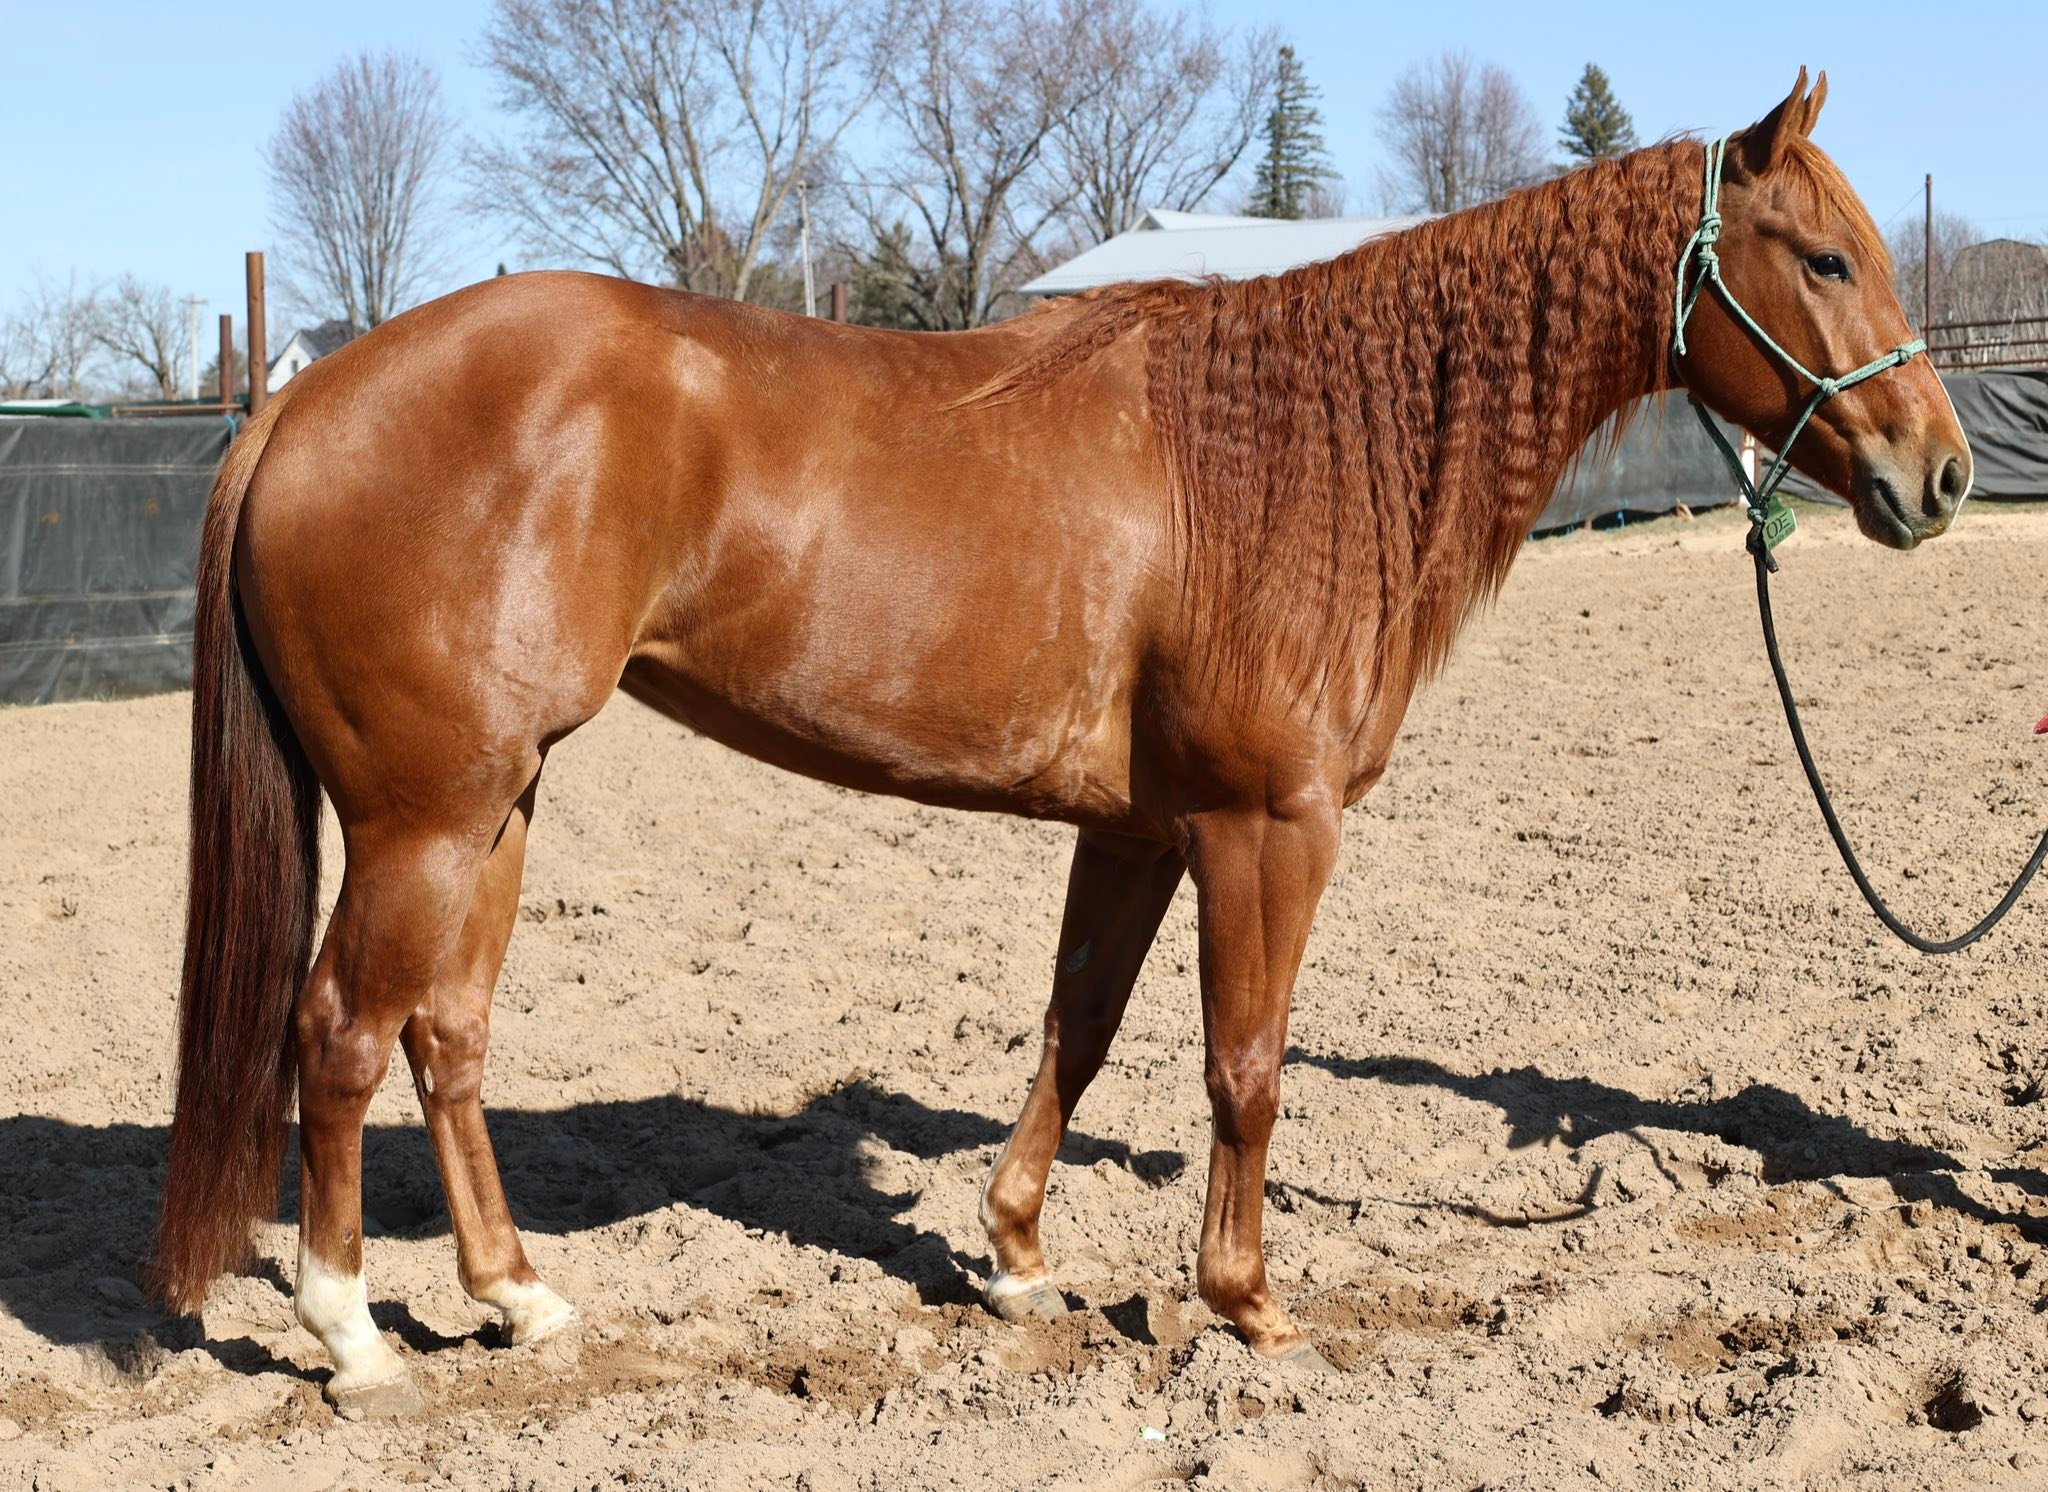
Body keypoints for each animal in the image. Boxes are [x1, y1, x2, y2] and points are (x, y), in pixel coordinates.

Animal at [153, 70, 1970, 1414]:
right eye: (1819, 258)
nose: (1941, 475)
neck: (1295, 455)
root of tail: (302, 399)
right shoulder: (1267, 822)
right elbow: (1246, 1062)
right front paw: (1245, 1302)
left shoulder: (1143, 824)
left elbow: (1078, 1027)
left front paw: (1017, 1253)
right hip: (424, 815)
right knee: (339, 1031)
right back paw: (351, 1332)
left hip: (496, 804)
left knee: (445, 1033)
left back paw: (518, 1298)